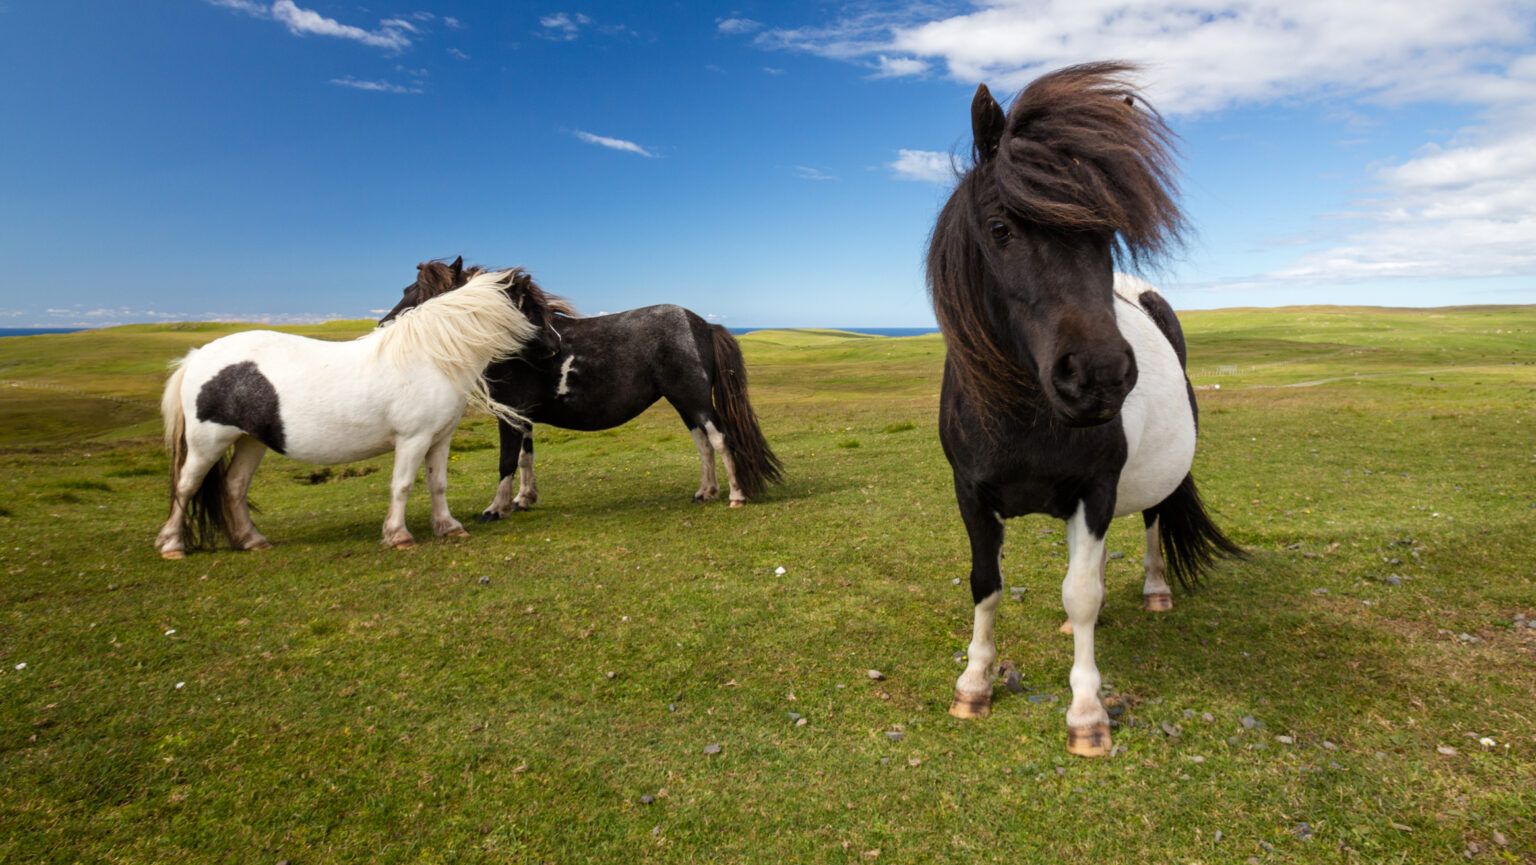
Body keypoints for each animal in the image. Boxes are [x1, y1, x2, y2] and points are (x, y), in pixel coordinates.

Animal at [155, 269, 540, 559]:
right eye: (536, 305)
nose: (552, 344)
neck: (430, 356)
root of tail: (196, 358)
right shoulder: (412, 440)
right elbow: (402, 484)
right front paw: (398, 535)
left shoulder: (439, 439)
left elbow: (438, 484)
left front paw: (449, 527)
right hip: (207, 443)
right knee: (186, 486)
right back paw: (173, 545)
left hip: (250, 441)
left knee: (235, 486)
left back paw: (252, 540)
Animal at [379, 258, 783, 515]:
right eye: (407, 287)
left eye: (417, 292)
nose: (384, 324)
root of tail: (701, 323)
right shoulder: (524, 418)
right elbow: (525, 458)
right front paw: (523, 500)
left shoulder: (511, 416)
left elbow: (506, 460)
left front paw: (496, 508)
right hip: (684, 403)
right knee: (703, 444)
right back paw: (706, 492)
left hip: (694, 400)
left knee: (719, 439)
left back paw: (735, 495)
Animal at [928, 62, 1243, 756]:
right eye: (1001, 229)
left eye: (1107, 234)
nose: (1099, 377)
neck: (1025, 414)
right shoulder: (970, 492)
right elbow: (986, 583)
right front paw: (974, 684)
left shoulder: (1095, 492)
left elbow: (1082, 592)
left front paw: (1087, 714)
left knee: (1150, 523)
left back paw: (1155, 591)